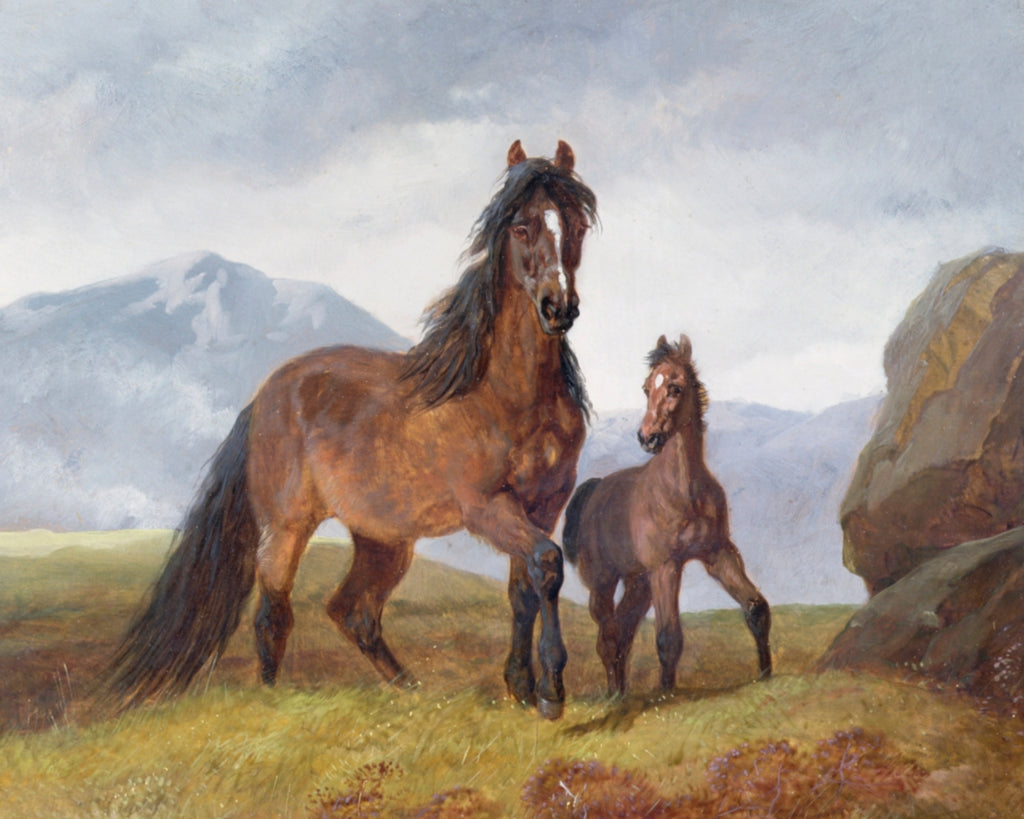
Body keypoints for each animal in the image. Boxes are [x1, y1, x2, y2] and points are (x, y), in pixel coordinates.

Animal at [109, 140, 598, 721]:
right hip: (287, 529)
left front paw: (522, 686)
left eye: (576, 225)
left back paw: (411, 691)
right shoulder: (487, 507)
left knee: (352, 611)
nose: (558, 307)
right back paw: (274, 700)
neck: (505, 393)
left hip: (383, 540)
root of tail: (263, 396)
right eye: (521, 226)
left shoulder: (543, 503)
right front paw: (550, 691)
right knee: (274, 614)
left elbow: (525, 588)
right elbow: (547, 564)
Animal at [563, 334, 771, 697]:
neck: (684, 491)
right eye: (647, 388)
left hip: (639, 583)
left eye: (675, 388)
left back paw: (622, 691)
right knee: (608, 637)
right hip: (603, 582)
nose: (647, 438)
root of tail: (594, 488)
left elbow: (756, 608)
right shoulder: (666, 567)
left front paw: (766, 673)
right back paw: (614, 695)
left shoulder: (718, 554)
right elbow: (668, 635)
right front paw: (666, 694)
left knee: (623, 630)